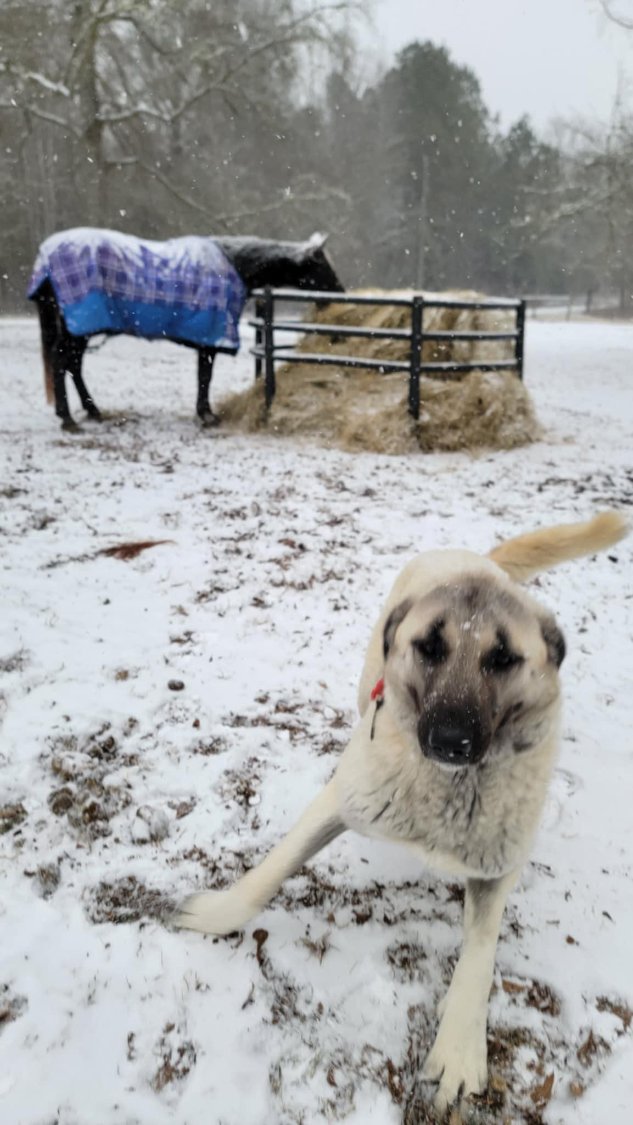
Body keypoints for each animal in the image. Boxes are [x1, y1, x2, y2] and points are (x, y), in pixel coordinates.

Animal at [28, 228, 344, 430]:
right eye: (321, 266)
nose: (341, 293)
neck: (234, 266)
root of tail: (45, 257)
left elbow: (202, 376)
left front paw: (204, 413)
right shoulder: (209, 339)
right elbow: (205, 375)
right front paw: (207, 415)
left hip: (80, 329)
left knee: (73, 365)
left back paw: (92, 411)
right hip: (77, 327)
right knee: (62, 362)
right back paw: (68, 418)